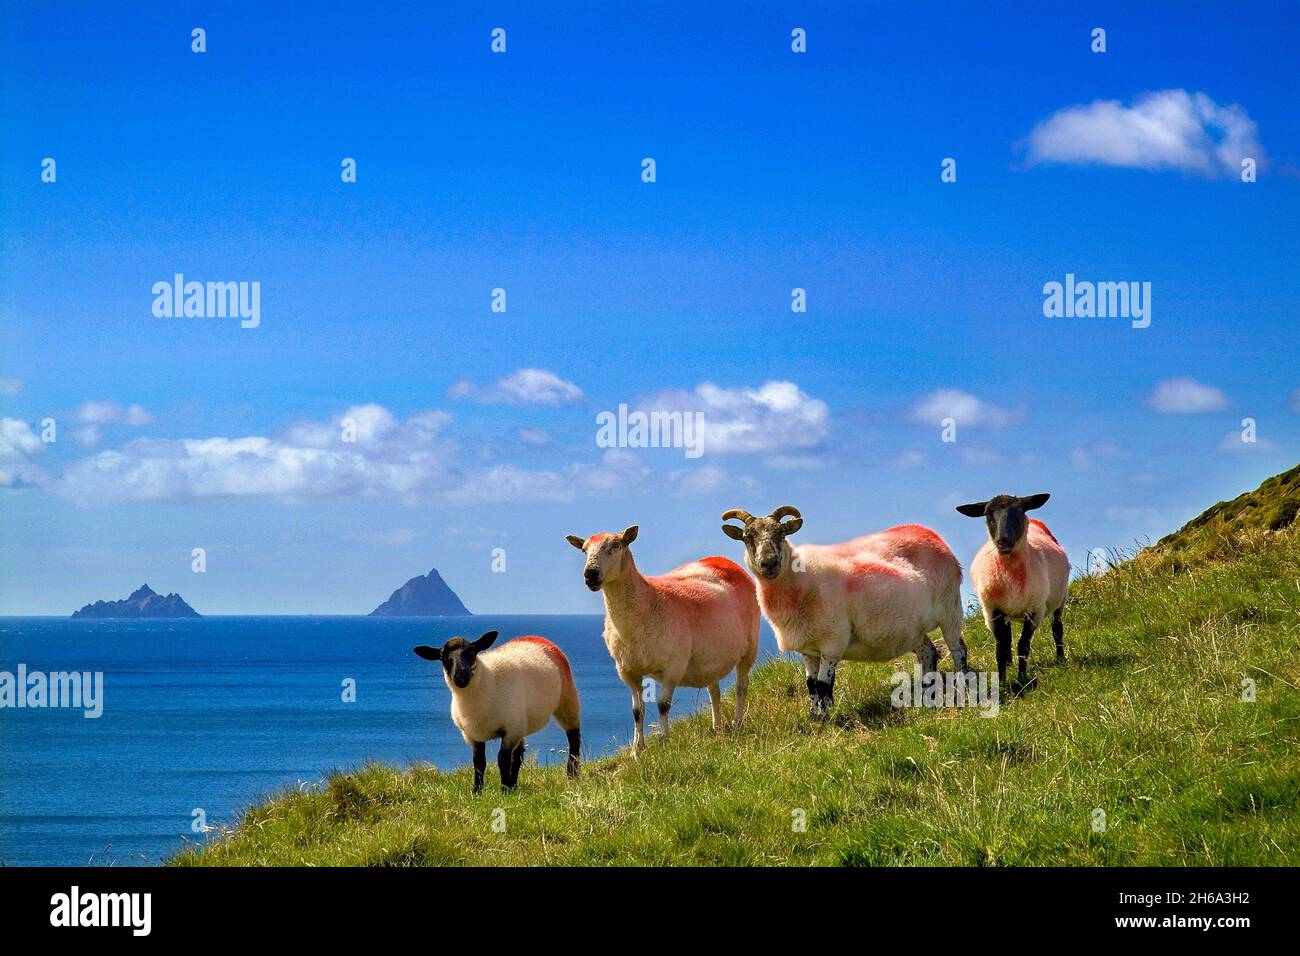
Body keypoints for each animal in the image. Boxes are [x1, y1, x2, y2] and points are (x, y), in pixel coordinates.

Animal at [412, 630, 580, 793]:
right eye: (443, 657)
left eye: (471, 652)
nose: (460, 677)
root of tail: (536, 637)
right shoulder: (472, 734)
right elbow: (479, 762)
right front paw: (477, 791)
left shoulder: (510, 730)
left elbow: (502, 759)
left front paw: (504, 790)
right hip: (522, 722)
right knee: (518, 754)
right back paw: (514, 784)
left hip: (567, 701)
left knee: (574, 739)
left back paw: (572, 776)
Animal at [564, 525, 759, 753]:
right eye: (584, 550)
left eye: (616, 545)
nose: (590, 574)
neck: (647, 602)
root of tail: (723, 561)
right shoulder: (627, 671)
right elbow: (637, 710)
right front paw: (637, 750)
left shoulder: (673, 667)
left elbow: (663, 705)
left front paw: (664, 743)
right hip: (711, 658)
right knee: (714, 692)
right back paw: (717, 729)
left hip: (750, 647)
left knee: (741, 686)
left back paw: (737, 723)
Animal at [721, 505, 968, 719]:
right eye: (747, 538)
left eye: (781, 534)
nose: (769, 563)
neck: (799, 582)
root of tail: (929, 533)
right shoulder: (807, 648)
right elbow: (811, 685)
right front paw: (815, 717)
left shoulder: (832, 640)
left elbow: (823, 685)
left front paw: (824, 719)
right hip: (913, 627)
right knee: (929, 653)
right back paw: (926, 691)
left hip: (950, 607)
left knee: (958, 650)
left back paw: (961, 684)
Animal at [956, 493, 1069, 689]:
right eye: (988, 514)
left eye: (1019, 510)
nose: (1004, 540)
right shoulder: (993, 612)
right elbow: (1000, 649)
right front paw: (1001, 683)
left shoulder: (1035, 610)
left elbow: (1023, 646)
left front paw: (1022, 678)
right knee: (1007, 638)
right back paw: (1009, 664)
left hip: (1060, 600)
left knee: (1057, 628)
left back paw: (1060, 658)